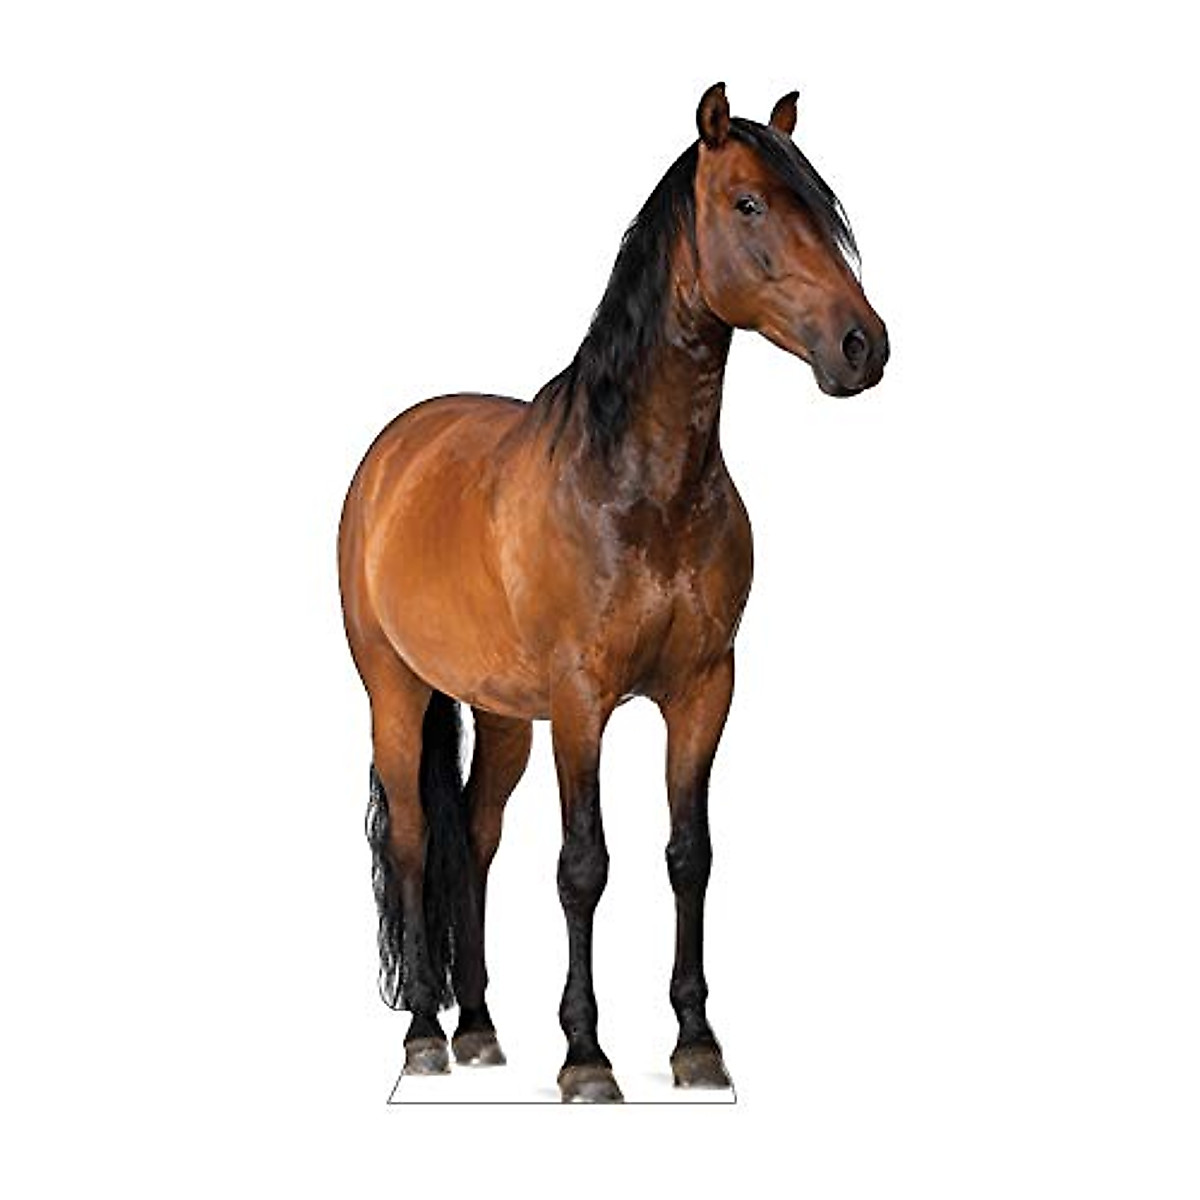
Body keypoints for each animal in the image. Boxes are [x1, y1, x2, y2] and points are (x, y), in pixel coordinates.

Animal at [338, 82, 888, 1103]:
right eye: (748, 205)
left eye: (826, 213)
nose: (861, 346)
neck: (637, 486)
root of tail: (393, 451)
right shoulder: (582, 701)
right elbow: (583, 866)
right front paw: (587, 1056)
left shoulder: (705, 690)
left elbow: (689, 855)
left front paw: (697, 1044)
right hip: (396, 692)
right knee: (414, 840)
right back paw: (426, 1034)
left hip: (503, 716)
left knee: (474, 834)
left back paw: (481, 1027)